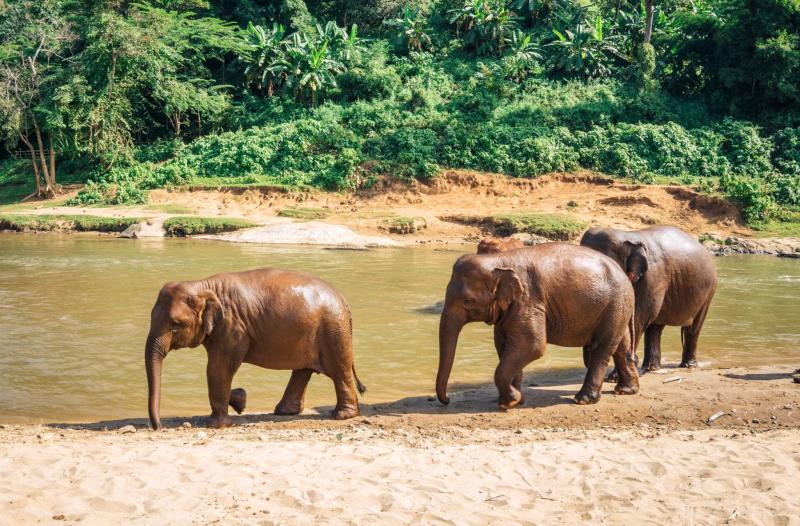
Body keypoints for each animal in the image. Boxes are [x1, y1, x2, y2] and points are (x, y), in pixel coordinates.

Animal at [145, 268, 366, 430]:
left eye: (175, 324)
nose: (158, 427)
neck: (202, 284)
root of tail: (344, 301)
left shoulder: (233, 327)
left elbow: (218, 368)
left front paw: (217, 424)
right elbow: (218, 370)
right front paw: (240, 400)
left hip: (333, 330)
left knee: (339, 371)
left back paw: (342, 416)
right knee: (303, 371)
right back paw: (285, 412)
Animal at [436, 243, 638, 409]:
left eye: (467, 301)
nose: (448, 400)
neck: (499, 261)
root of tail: (624, 275)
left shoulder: (528, 299)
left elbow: (532, 345)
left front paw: (510, 401)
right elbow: (505, 346)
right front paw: (515, 400)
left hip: (615, 304)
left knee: (601, 348)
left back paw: (583, 400)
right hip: (618, 307)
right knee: (621, 346)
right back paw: (626, 390)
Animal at [580, 225, 717, 373]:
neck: (628, 236)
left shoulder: (653, 276)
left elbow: (640, 316)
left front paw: (616, 375)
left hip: (709, 290)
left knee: (693, 327)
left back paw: (688, 366)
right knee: (655, 327)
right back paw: (652, 368)